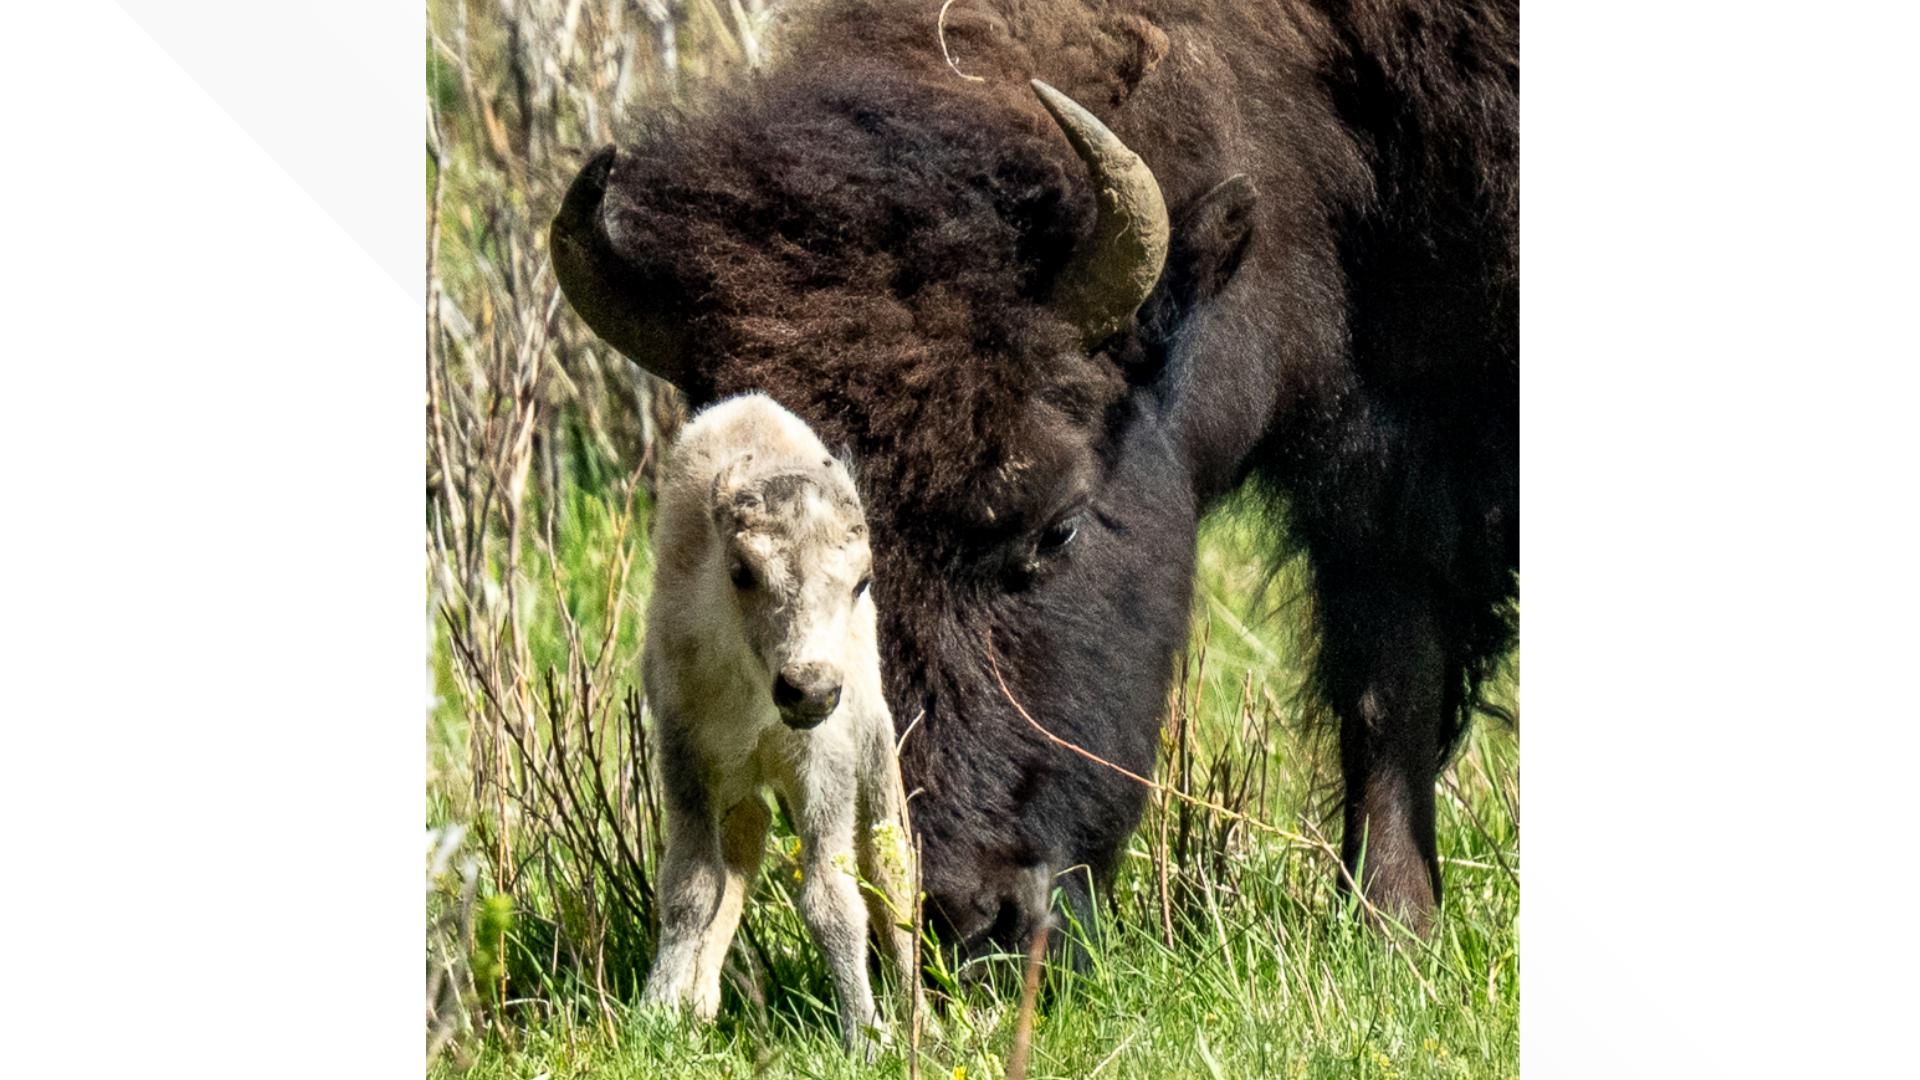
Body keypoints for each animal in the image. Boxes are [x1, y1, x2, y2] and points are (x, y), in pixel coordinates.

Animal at [551, 0, 1517, 952]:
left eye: (1061, 525)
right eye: (743, 568)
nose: (964, 918)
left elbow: (1394, 690)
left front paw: (1392, 933)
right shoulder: (1378, 479)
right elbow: (1385, 682)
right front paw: (1396, 930)